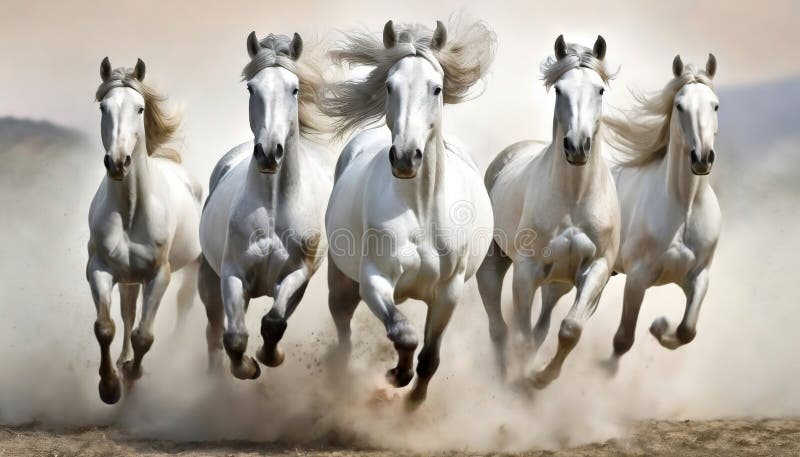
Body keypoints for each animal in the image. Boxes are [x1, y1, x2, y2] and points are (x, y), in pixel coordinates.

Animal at [87, 58, 202, 404]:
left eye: (139, 108)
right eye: (103, 107)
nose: (118, 162)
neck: (131, 211)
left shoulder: (158, 274)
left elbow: (144, 336)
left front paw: (133, 374)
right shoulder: (99, 270)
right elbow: (105, 327)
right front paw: (110, 386)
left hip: (192, 266)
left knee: (184, 302)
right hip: (128, 278)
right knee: (127, 313)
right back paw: (123, 361)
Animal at [198, 32, 332, 380]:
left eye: (294, 88)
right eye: (251, 88)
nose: (269, 152)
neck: (273, 207)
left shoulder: (297, 274)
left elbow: (273, 323)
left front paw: (270, 356)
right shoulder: (232, 274)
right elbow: (234, 337)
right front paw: (246, 367)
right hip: (210, 277)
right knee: (214, 331)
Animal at [320, 19, 496, 407]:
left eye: (436, 88)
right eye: (390, 85)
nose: (405, 157)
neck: (421, 211)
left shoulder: (448, 292)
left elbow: (430, 356)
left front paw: (412, 403)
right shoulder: (374, 279)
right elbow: (404, 333)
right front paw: (395, 375)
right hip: (342, 284)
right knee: (343, 333)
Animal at [476, 35, 620, 389]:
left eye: (600, 89)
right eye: (559, 89)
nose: (577, 146)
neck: (574, 198)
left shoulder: (596, 269)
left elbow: (569, 329)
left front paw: (540, 379)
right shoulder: (527, 271)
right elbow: (522, 335)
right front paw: (523, 376)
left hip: (559, 282)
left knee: (542, 325)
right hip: (495, 264)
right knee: (499, 326)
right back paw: (502, 379)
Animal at [602, 55, 721, 374]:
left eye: (715, 105)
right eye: (679, 106)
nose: (702, 158)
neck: (685, 208)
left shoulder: (697, 276)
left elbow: (687, 330)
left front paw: (659, 326)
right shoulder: (637, 279)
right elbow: (622, 340)